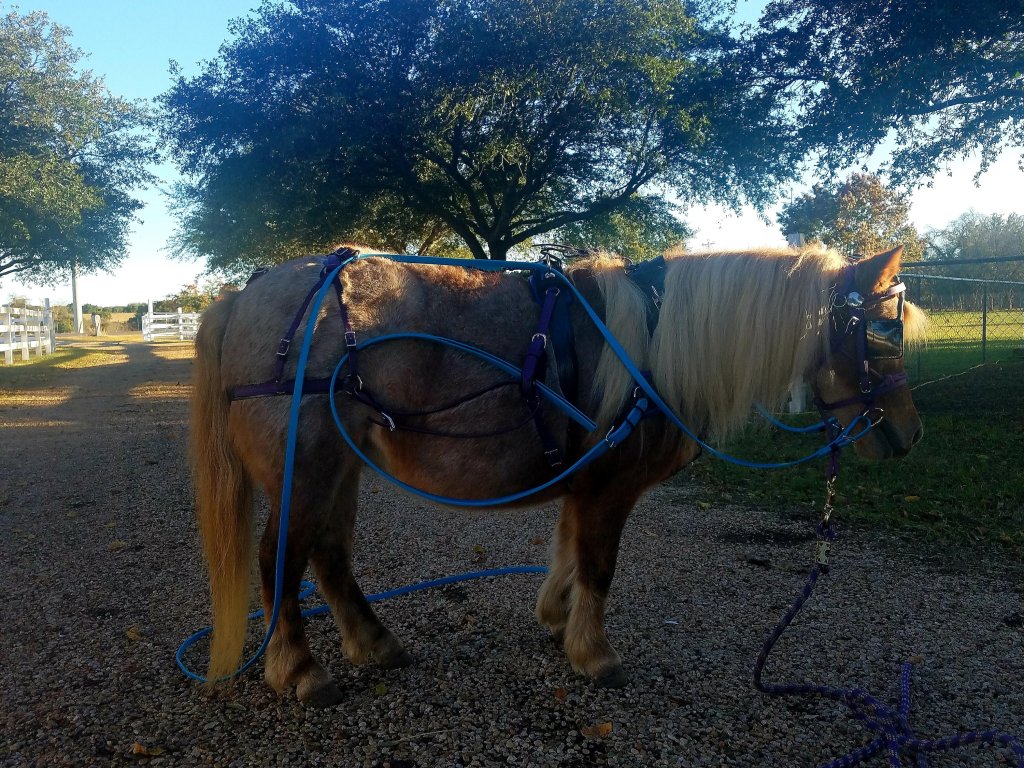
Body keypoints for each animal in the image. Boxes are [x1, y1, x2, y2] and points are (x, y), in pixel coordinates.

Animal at [190, 244, 927, 706]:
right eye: (879, 332)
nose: (909, 433)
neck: (653, 342)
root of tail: (247, 293)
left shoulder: (586, 485)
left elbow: (570, 553)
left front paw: (556, 618)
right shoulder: (610, 487)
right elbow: (598, 565)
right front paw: (595, 655)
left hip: (342, 463)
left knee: (329, 555)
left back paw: (374, 642)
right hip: (308, 465)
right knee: (280, 559)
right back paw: (299, 670)